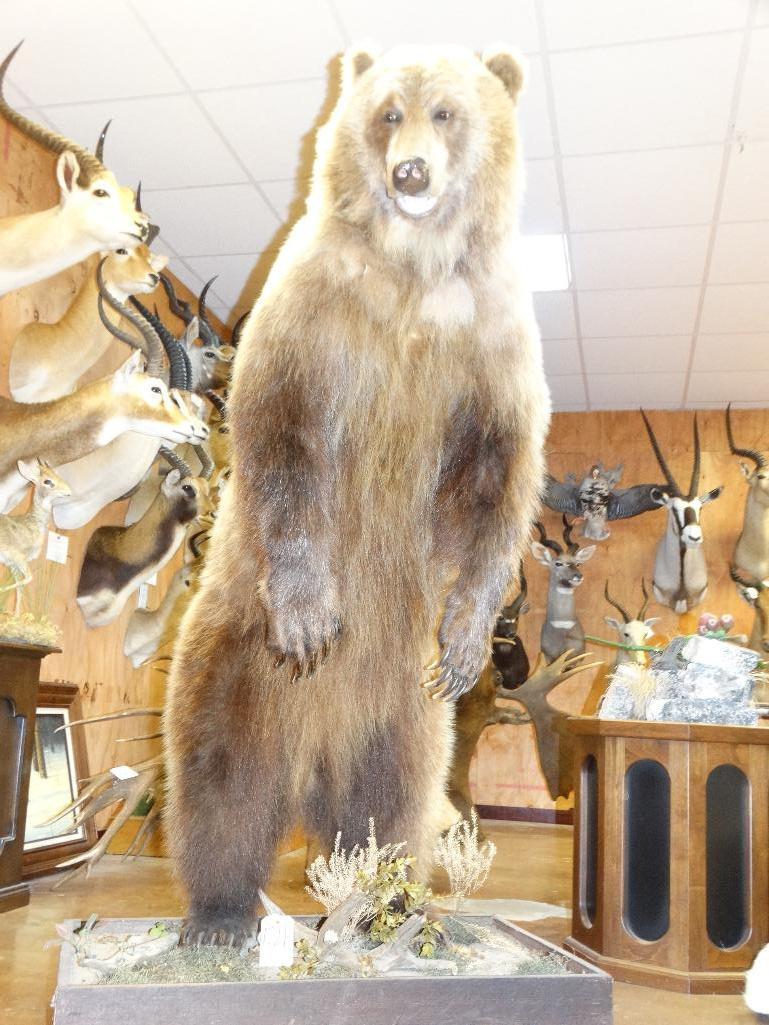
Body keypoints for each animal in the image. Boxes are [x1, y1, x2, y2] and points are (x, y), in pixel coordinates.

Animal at [164, 41, 551, 946]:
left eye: (445, 111)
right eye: (387, 112)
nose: (410, 170)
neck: (413, 269)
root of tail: (313, 753)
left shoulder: (489, 339)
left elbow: (500, 474)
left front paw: (467, 636)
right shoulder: (315, 308)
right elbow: (282, 433)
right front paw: (312, 613)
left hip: (400, 706)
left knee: (389, 800)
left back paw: (389, 902)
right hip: (236, 656)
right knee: (221, 781)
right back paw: (217, 913)